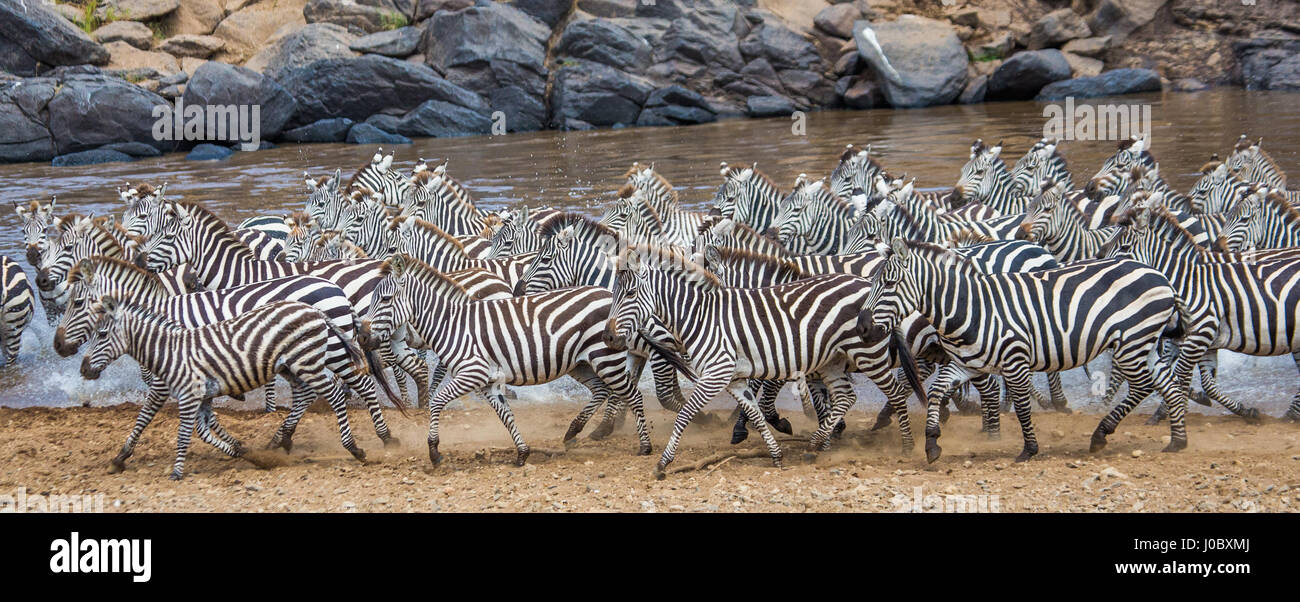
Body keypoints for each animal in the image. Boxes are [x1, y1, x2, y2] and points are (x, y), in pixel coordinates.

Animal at [80, 296, 372, 480]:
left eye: (102, 335)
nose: (83, 370)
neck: (171, 351)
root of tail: (315, 311)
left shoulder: (189, 395)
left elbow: (182, 433)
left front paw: (176, 472)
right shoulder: (202, 397)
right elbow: (203, 431)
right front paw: (246, 453)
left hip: (306, 362)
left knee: (335, 394)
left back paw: (355, 449)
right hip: (294, 366)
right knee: (309, 394)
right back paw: (283, 441)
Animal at [358, 254, 658, 466]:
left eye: (385, 299)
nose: (361, 337)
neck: (452, 325)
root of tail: (609, 295)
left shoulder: (473, 373)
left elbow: (437, 401)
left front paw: (433, 450)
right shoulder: (489, 381)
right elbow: (505, 415)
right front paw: (522, 453)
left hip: (604, 358)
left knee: (633, 394)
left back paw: (644, 447)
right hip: (580, 363)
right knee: (601, 390)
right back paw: (573, 431)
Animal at [860, 238, 1191, 463]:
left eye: (889, 284)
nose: (862, 327)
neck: (972, 307)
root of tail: (1162, 277)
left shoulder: (1015, 360)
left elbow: (1020, 406)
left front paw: (1029, 450)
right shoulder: (969, 363)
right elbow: (936, 391)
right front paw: (931, 443)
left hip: (1131, 342)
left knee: (1144, 385)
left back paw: (1102, 434)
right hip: (1145, 344)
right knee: (1168, 385)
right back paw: (1177, 441)